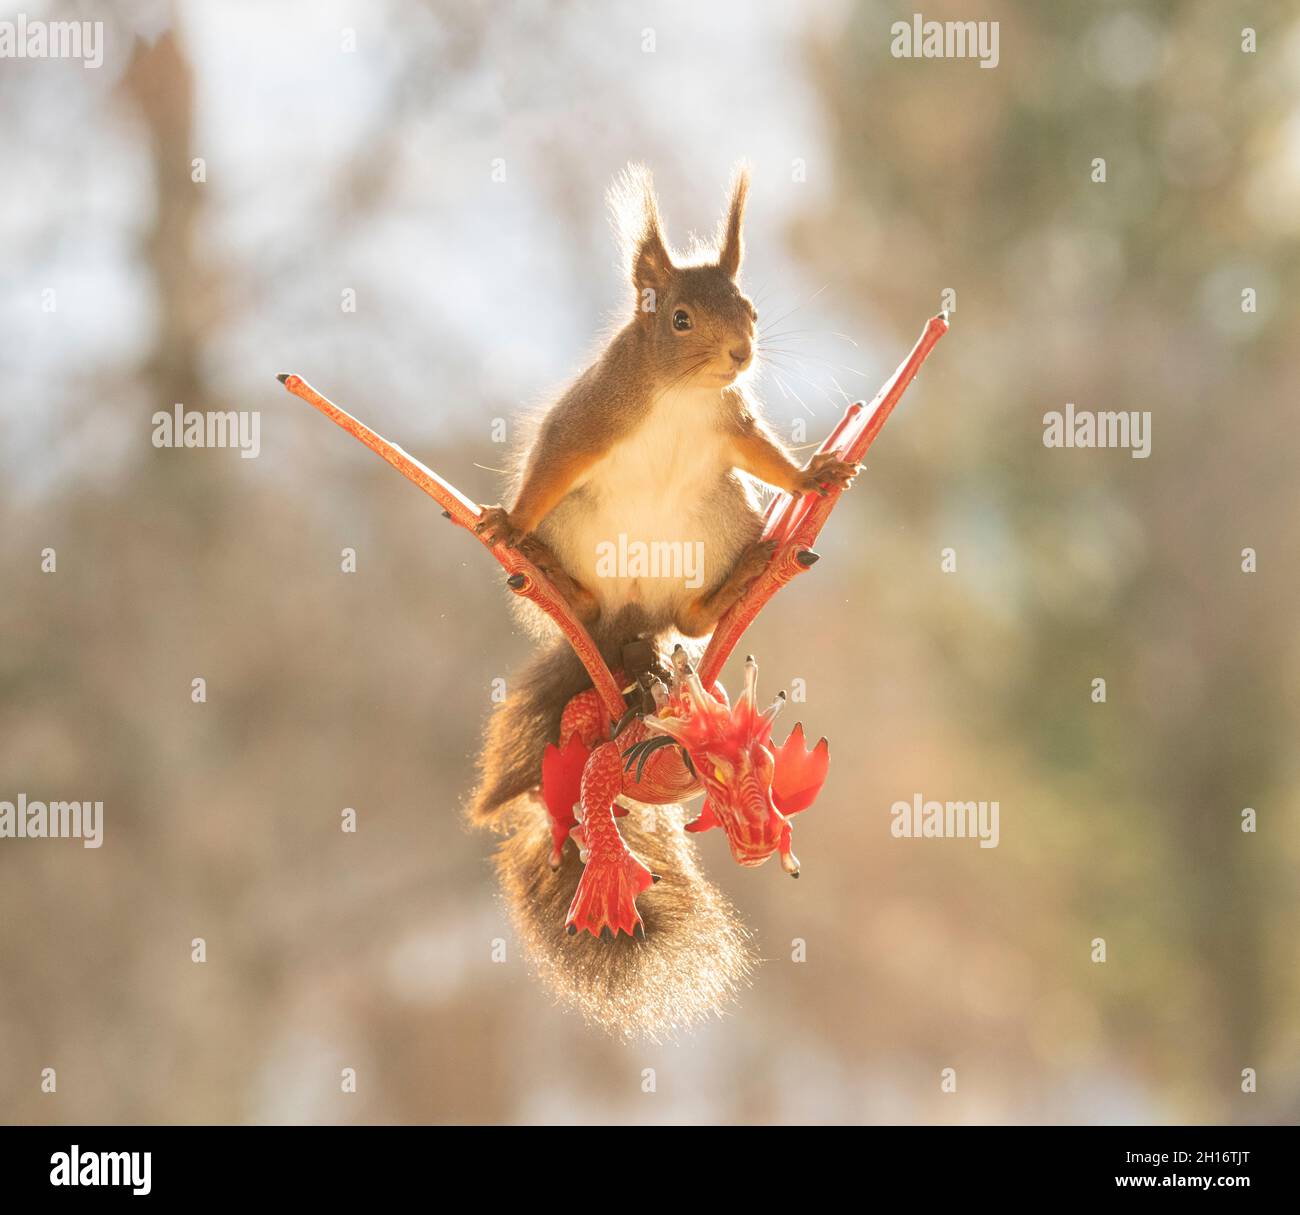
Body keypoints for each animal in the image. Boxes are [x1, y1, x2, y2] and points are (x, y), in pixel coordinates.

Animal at [466, 165, 857, 1035]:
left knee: (693, 618)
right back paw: (550, 573)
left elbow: (769, 458)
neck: (680, 394)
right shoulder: (593, 420)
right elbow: (550, 470)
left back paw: (739, 582)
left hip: (725, 519)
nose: (742, 352)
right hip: (589, 540)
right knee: (582, 590)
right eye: (678, 319)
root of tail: (629, 620)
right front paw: (511, 522)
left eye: (750, 309)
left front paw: (815, 474)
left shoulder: (732, 429)